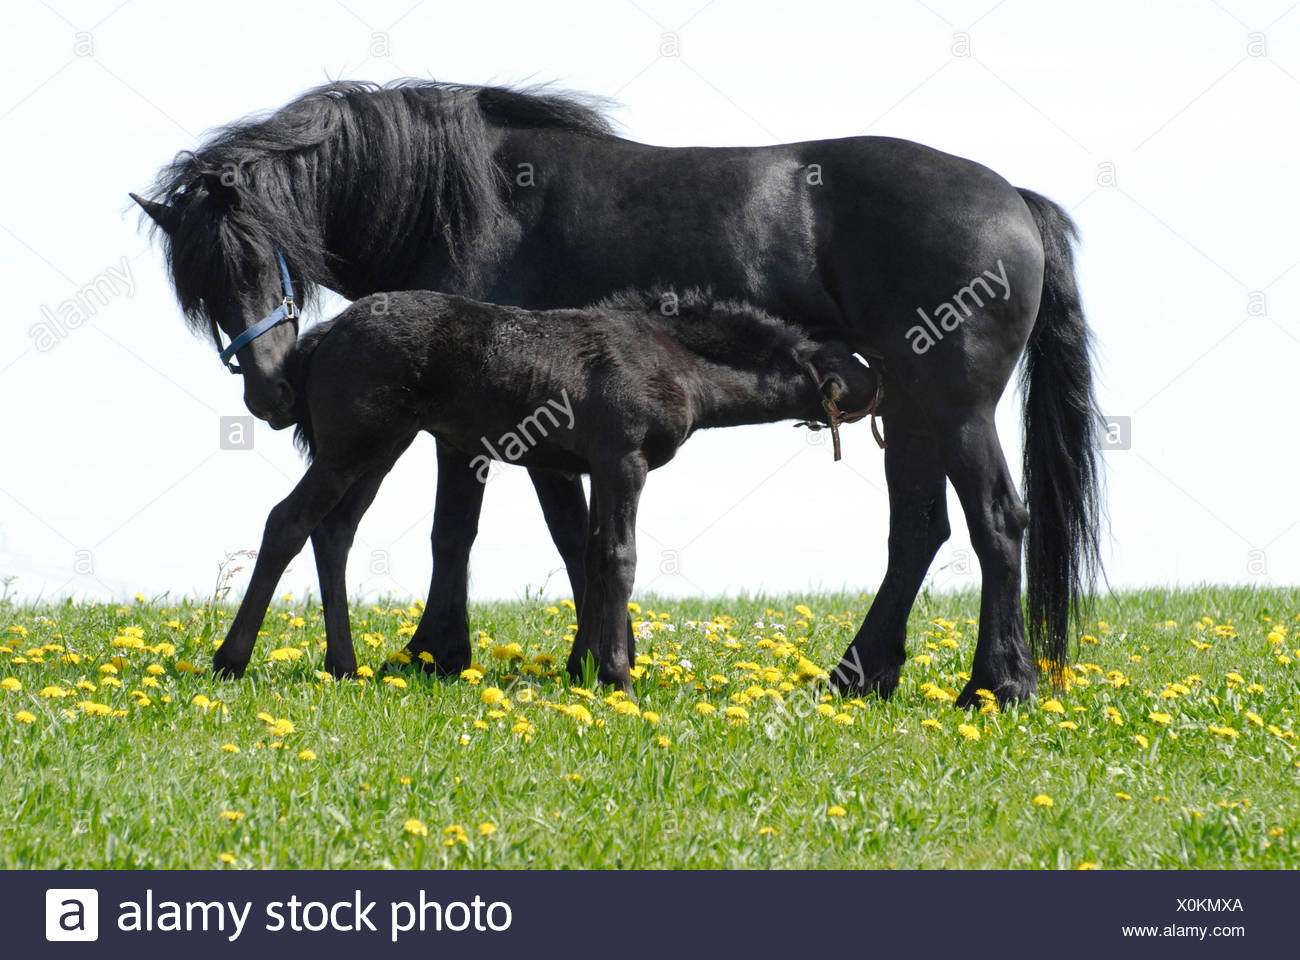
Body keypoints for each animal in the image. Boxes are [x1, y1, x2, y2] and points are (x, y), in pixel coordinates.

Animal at [212, 288, 880, 689]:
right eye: (848, 361)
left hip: (379, 450)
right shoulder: (623, 461)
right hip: (355, 445)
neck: (671, 359)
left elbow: (588, 556)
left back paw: (344, 668)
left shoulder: (590, 468)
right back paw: (230, 660)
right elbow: (617, 559)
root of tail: (323, 334)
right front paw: (617, 675)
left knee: (334, 533)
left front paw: (583, 667)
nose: (884, 389)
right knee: (288, 522)